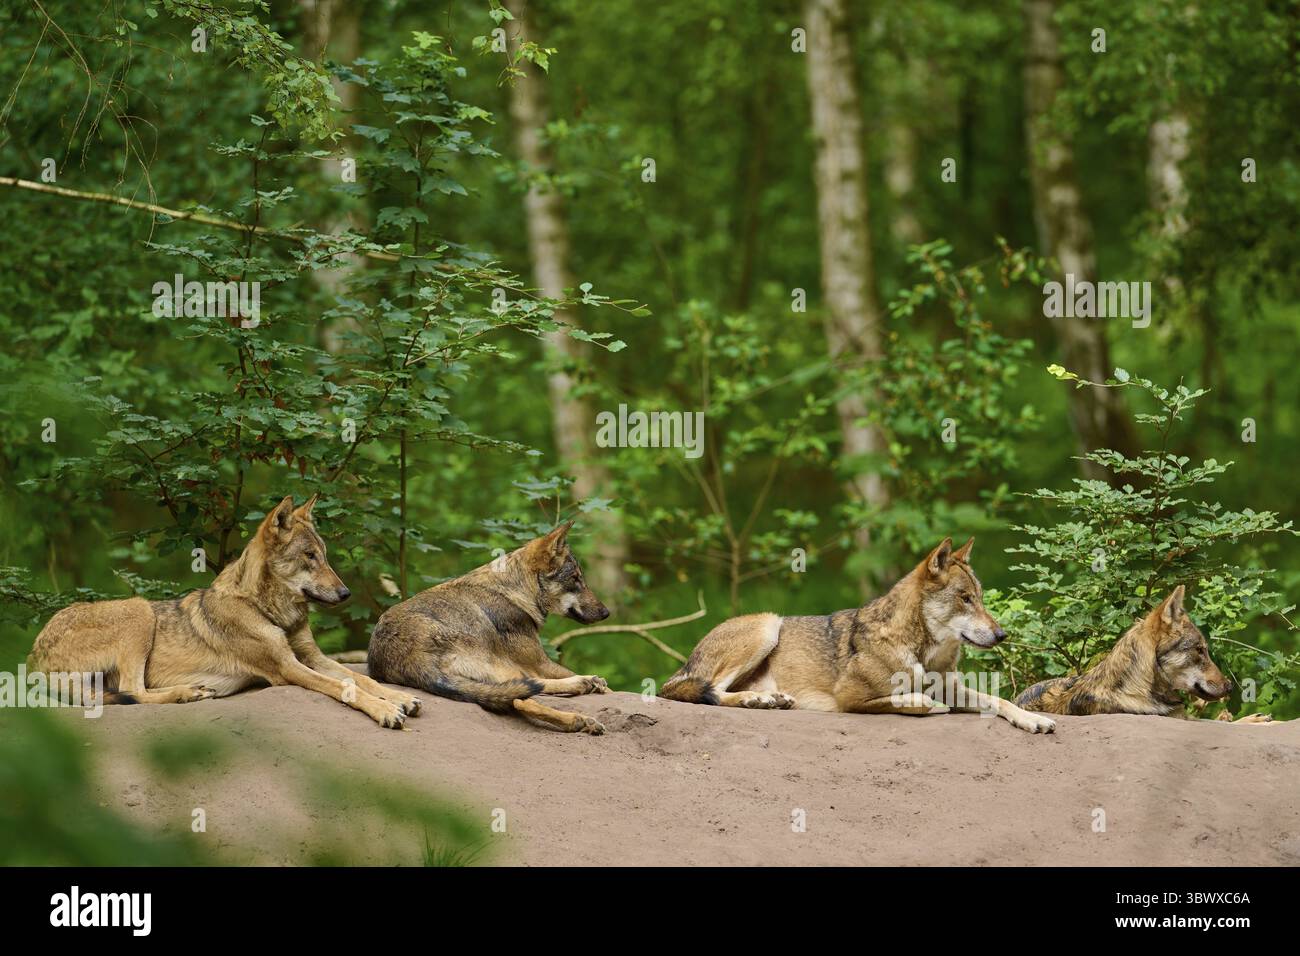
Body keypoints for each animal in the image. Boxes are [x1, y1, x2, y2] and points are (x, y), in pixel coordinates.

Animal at [27, 494, 420, 728]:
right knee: (132, 690)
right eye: (309, 556)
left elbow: (362, 678)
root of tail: (33, 655)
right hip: (139, 610)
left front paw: (401, 697)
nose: (345, 593)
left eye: (324, 555)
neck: (265, 609)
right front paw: (386, 710)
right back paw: (188, 693)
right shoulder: (287, 668)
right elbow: (345, 688)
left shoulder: (311, 656)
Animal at [366, 521, 613, 734]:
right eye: (576, 579)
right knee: (524, 699)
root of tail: (413, 658)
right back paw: (583, 707)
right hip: (503, 668)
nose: (606, 613)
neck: (515, 591)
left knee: (520, 693)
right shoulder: (540, 663)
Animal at [659, 537, 1055, 733]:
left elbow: (999, 701)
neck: (921, 652)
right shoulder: (848, 698)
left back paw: (769, 698)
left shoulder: (950, 687)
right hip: (767, 625)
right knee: (710, 692)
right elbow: (908, 702)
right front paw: (920, 703)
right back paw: (759, 700)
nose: (1002, 634)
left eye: (982, 598)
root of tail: (679, 669)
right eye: (965, 598)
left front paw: (1032, 719)